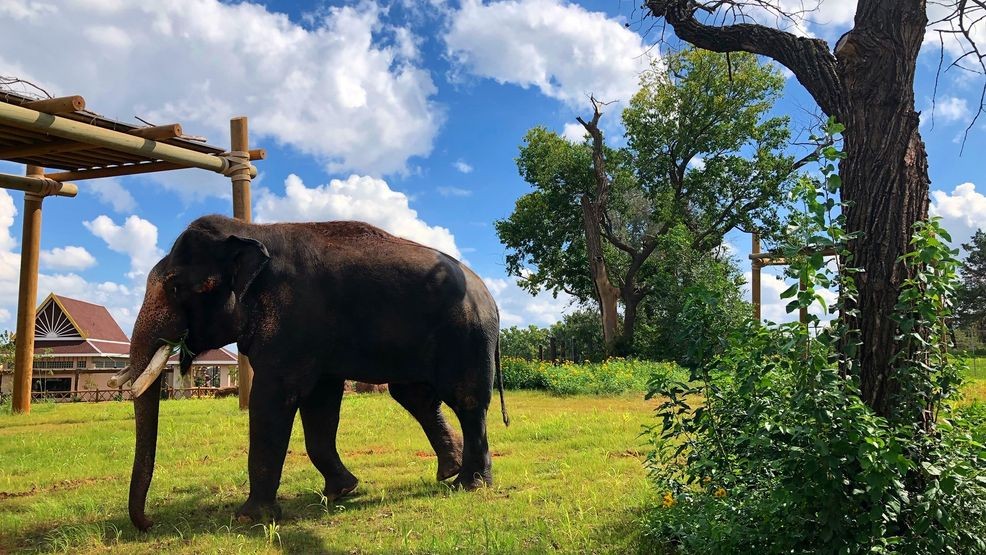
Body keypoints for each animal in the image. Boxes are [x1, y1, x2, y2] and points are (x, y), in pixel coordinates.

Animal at [123, 215, 508, 531]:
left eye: (175, 287)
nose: (150, 523)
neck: (251, 231)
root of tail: (491, 297)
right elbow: (320, 404)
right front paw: (341, 492)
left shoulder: (293, 324)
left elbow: (273, 399)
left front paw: (250, 518)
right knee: (416, 397)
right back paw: (449, 472)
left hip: (465, 336)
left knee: (467, 401)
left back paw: (469, 484)